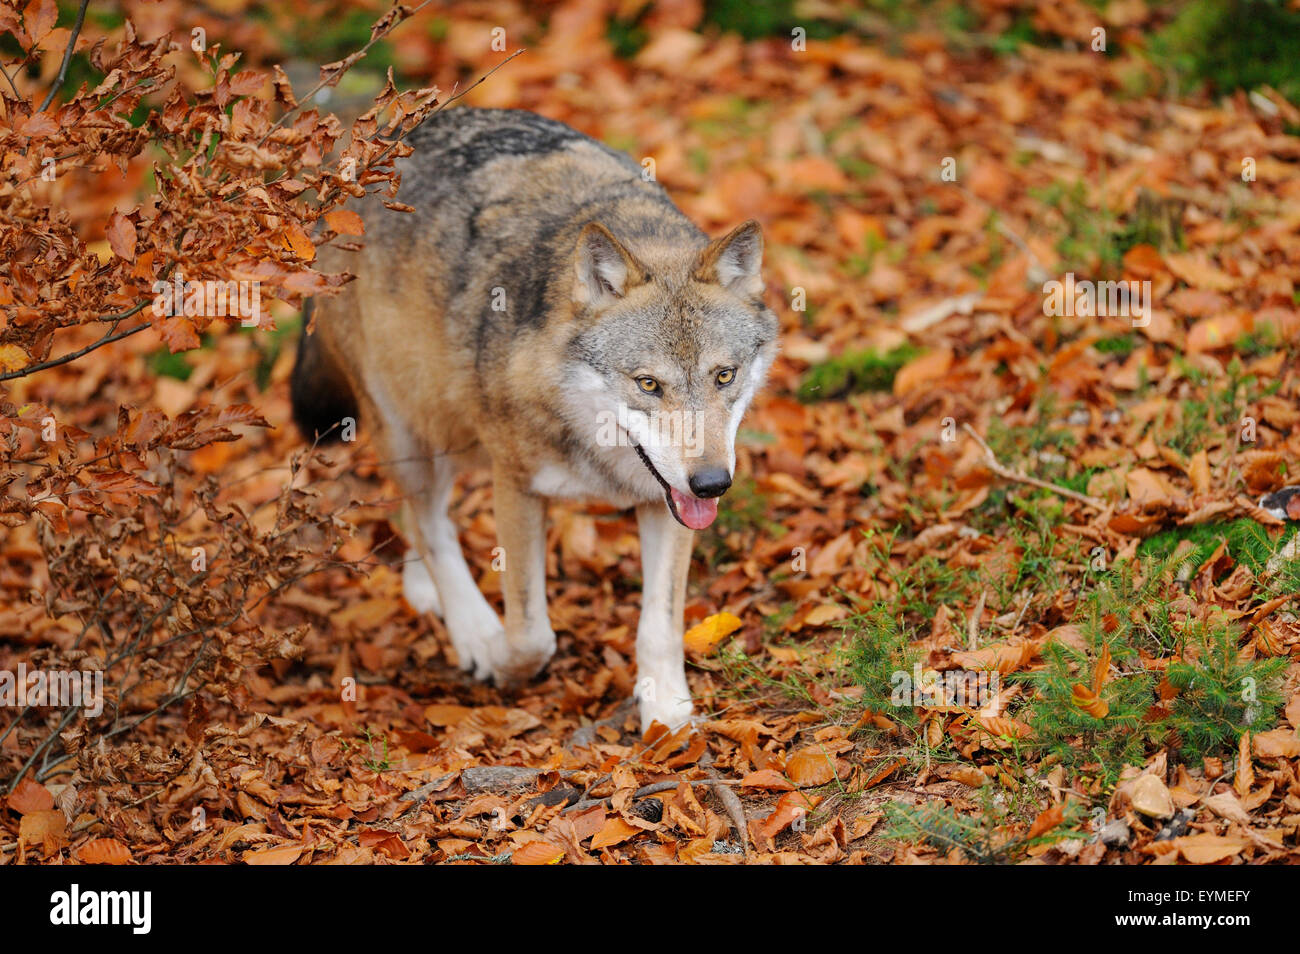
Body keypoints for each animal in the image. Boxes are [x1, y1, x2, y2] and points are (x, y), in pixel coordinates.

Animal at [290, 107, 779, 731]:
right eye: (648, 384)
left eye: (724, 376)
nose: (714, 483)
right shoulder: (518, 486)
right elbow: (531, 635)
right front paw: (495, 653)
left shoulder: (665, 502)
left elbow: (660, 628)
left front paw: (667, 716)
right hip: (414, 428)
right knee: (431, 524)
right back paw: (469, 628)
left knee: (418, 519)